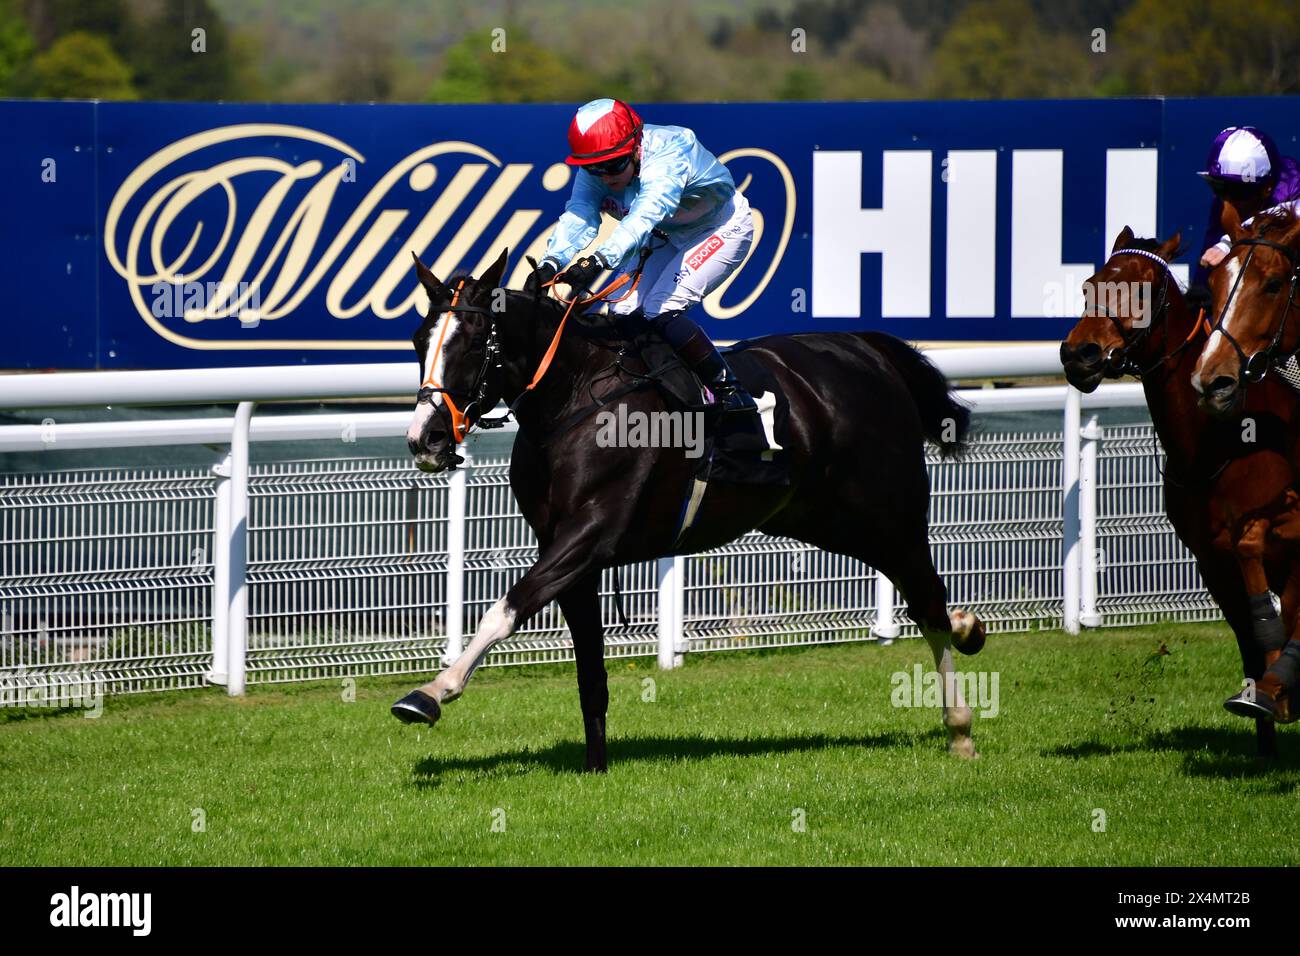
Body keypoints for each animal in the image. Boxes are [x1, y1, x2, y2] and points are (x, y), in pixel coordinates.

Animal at [391, 247, 987, 771]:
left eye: (472, 344)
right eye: (420, 339)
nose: (425, 439)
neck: (574, 397)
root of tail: (867, 349)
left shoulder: (590, 534)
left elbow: (506, 607)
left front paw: (431, 692)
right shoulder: (567, 550)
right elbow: (588, 672)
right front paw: (595, 767)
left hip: (890, 511)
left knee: (927, 597)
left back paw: (959, 725)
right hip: (823, 517)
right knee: (919, 594)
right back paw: (968, 628)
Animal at [1060, 226, 1300, 751]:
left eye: (1144, 291)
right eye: (1089, 286)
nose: (1078, 354)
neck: (1222, 440)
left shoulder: (1287, 526)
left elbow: (1258, 547)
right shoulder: (1212, 559)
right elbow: (1251, 638)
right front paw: (1265, 714)